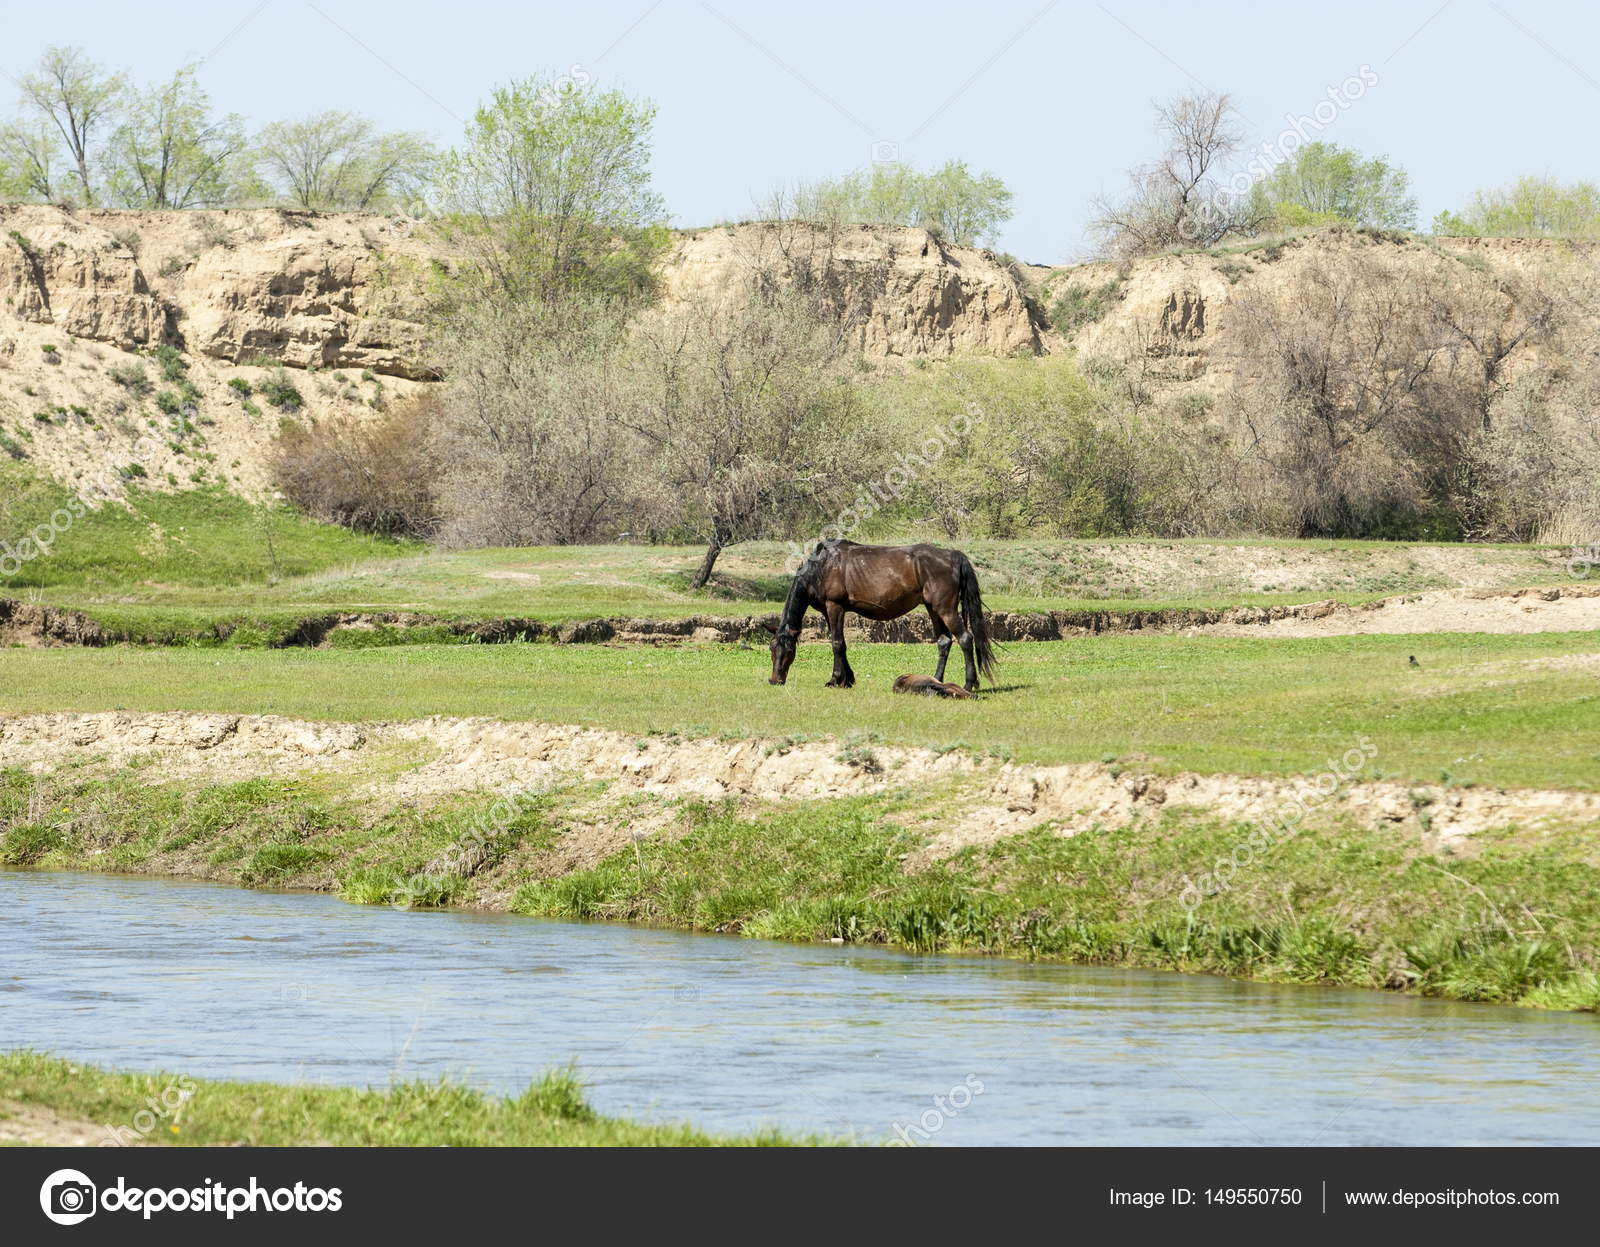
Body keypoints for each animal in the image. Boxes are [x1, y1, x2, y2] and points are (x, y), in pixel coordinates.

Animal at [767, 540, 996, 692]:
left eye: (789, 650)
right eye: (772, 649)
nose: (774, 680)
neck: (822, 566)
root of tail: (952, 555)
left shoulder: (835, 607)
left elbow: (837, 644)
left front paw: (835, 680)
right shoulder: (827, 611)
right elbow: (841, 644)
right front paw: (848, 679)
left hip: (945, 609)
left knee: (965, 639)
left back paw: (969, 683)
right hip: (933, 609)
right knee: (944, 641)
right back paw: (935, 680)